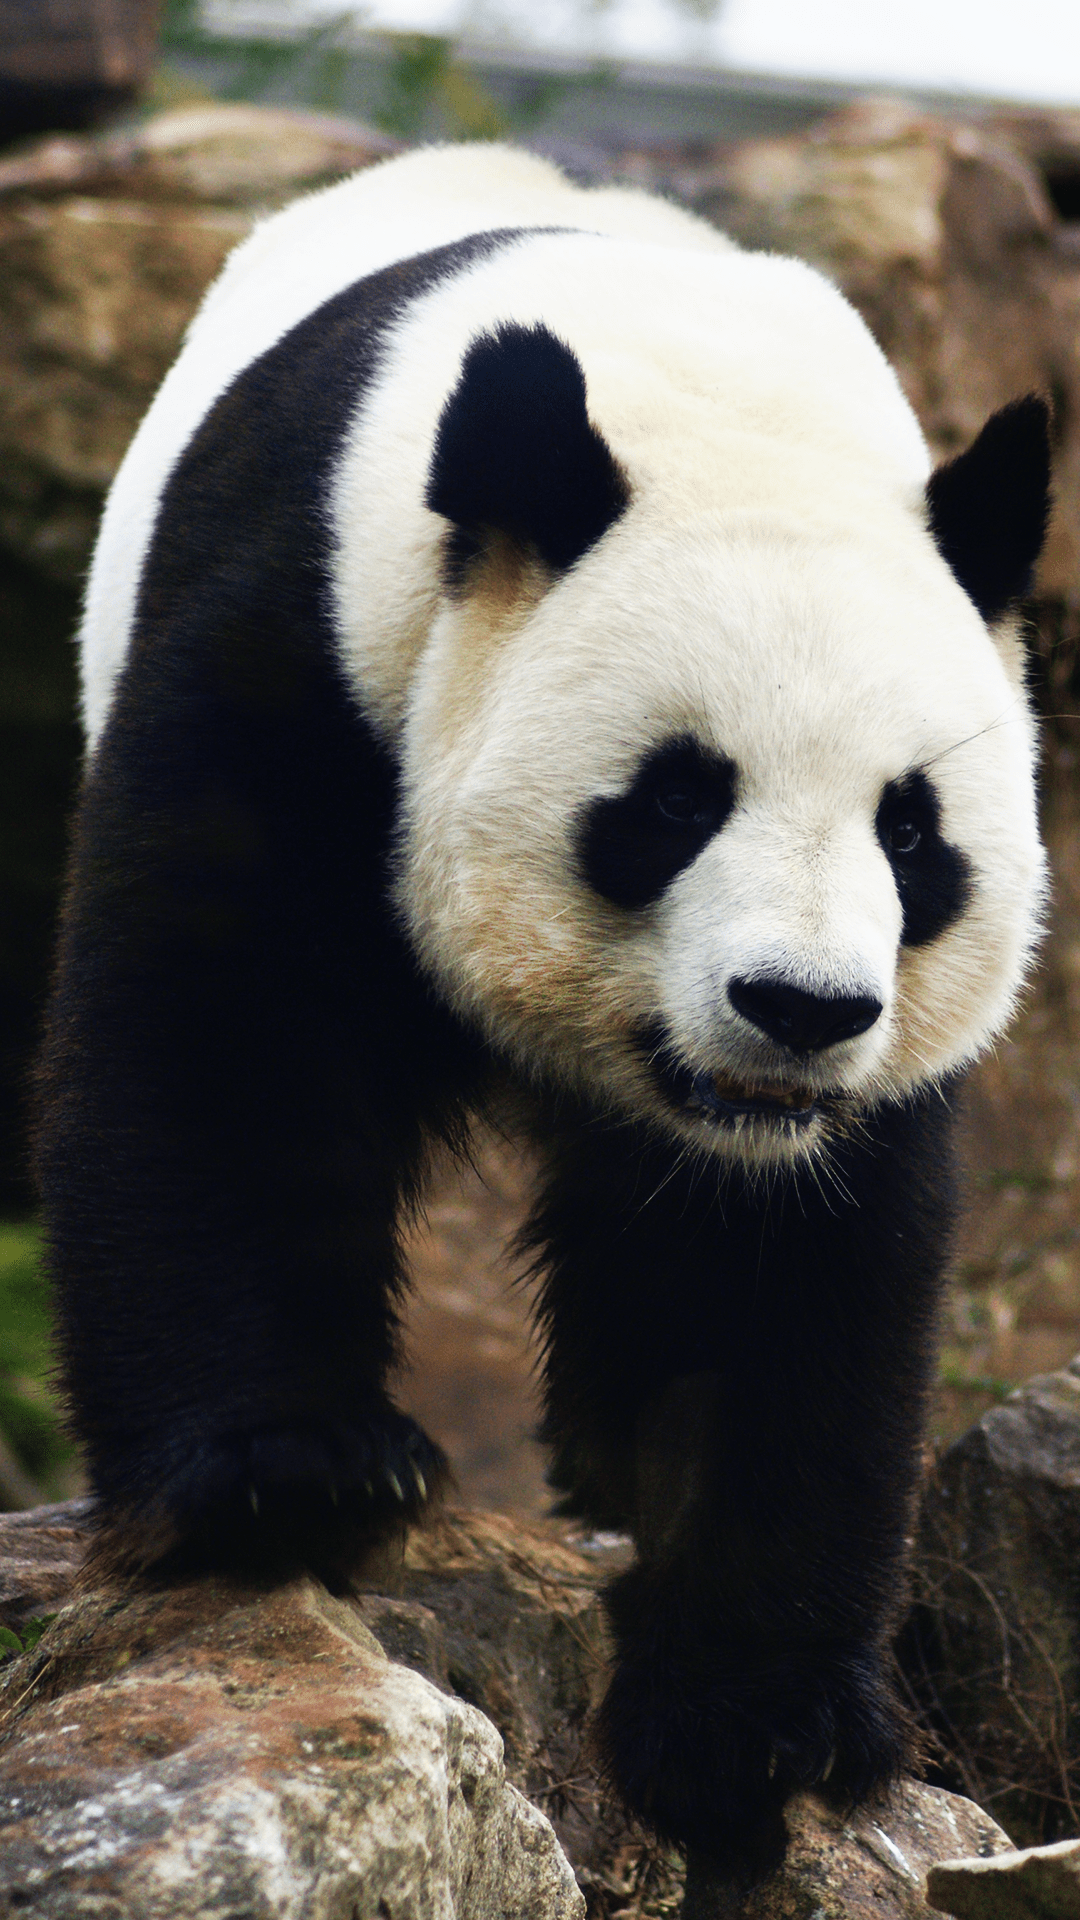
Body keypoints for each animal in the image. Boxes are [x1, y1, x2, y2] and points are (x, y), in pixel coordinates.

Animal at [36, 143, 1050, 1880]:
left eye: (912, 833)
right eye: (676, 798)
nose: (797, 1009)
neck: (700, 393)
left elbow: (781, 1272)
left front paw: (756, 1720)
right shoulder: (309, 649)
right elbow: (222, 1033)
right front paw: (285, 1477)